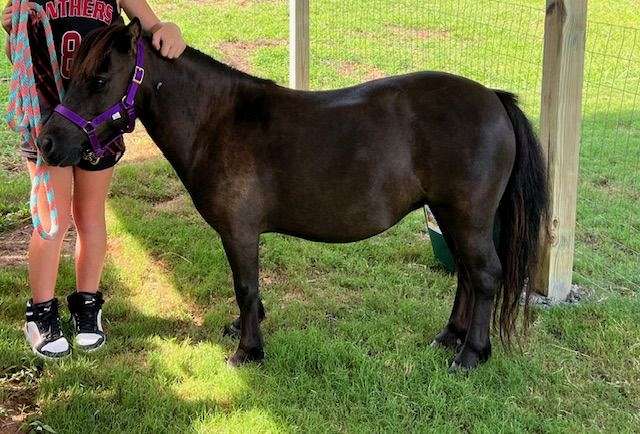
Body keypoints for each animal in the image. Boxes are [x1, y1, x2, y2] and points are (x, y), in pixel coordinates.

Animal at [38, 19, 547, 371]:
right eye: (73, 74)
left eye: (100, 79)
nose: (47, 143)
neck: (216, 121)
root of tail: (493, 98)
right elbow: (248, 291)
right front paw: (245, 329)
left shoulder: (240, 232)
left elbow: (245, 286)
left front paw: (248, 350)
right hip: (448, 213)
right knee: (466, 274)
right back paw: (450, 336)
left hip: (467, 215)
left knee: (484, 275)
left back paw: (471, 353)